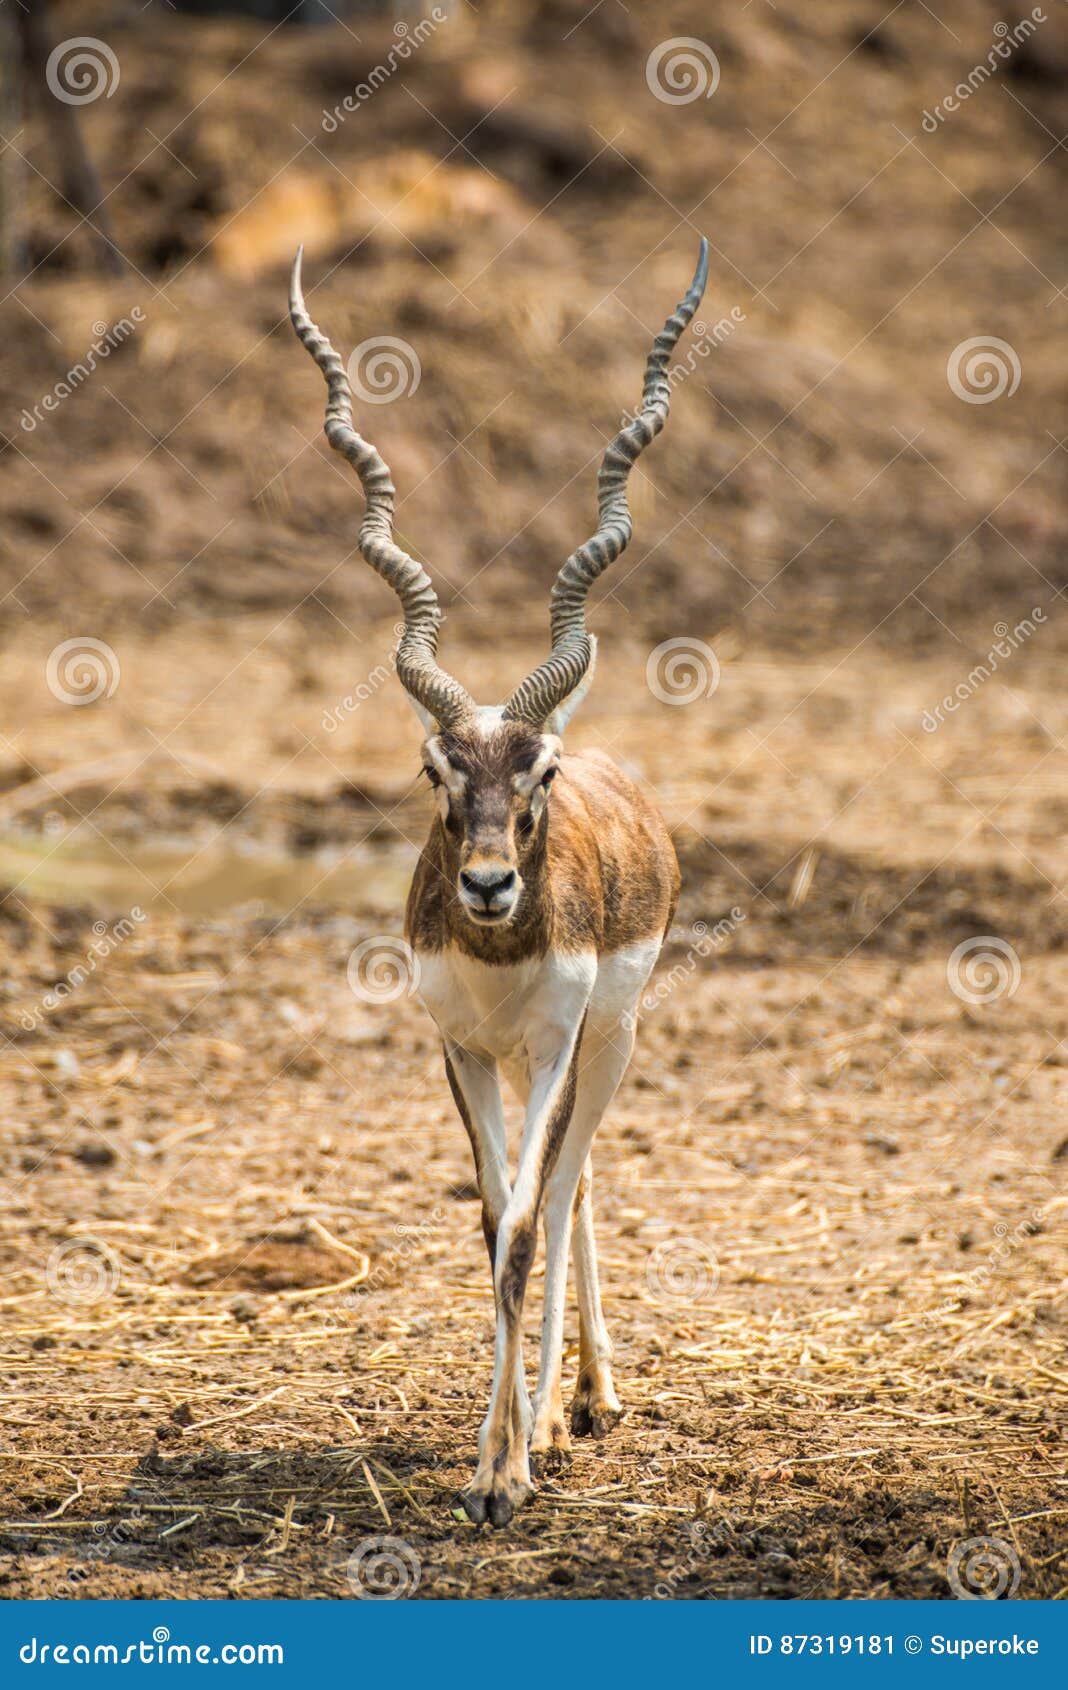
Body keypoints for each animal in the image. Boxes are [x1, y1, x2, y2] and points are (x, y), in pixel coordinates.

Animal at [290, 239, 708, 1526]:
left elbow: (525, 1222)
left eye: (541, 772)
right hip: (536, 1062)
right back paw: (571, 1402)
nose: (482, 885)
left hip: (607, 1040)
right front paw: (504, 1448)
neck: (492, 957)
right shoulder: (460, 1045)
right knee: (571, 1178)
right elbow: (487, 1225)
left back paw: (586, 1405)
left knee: (568, 1177)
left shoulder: (562, 1037)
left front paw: (505, 1473)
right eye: (435, 769)